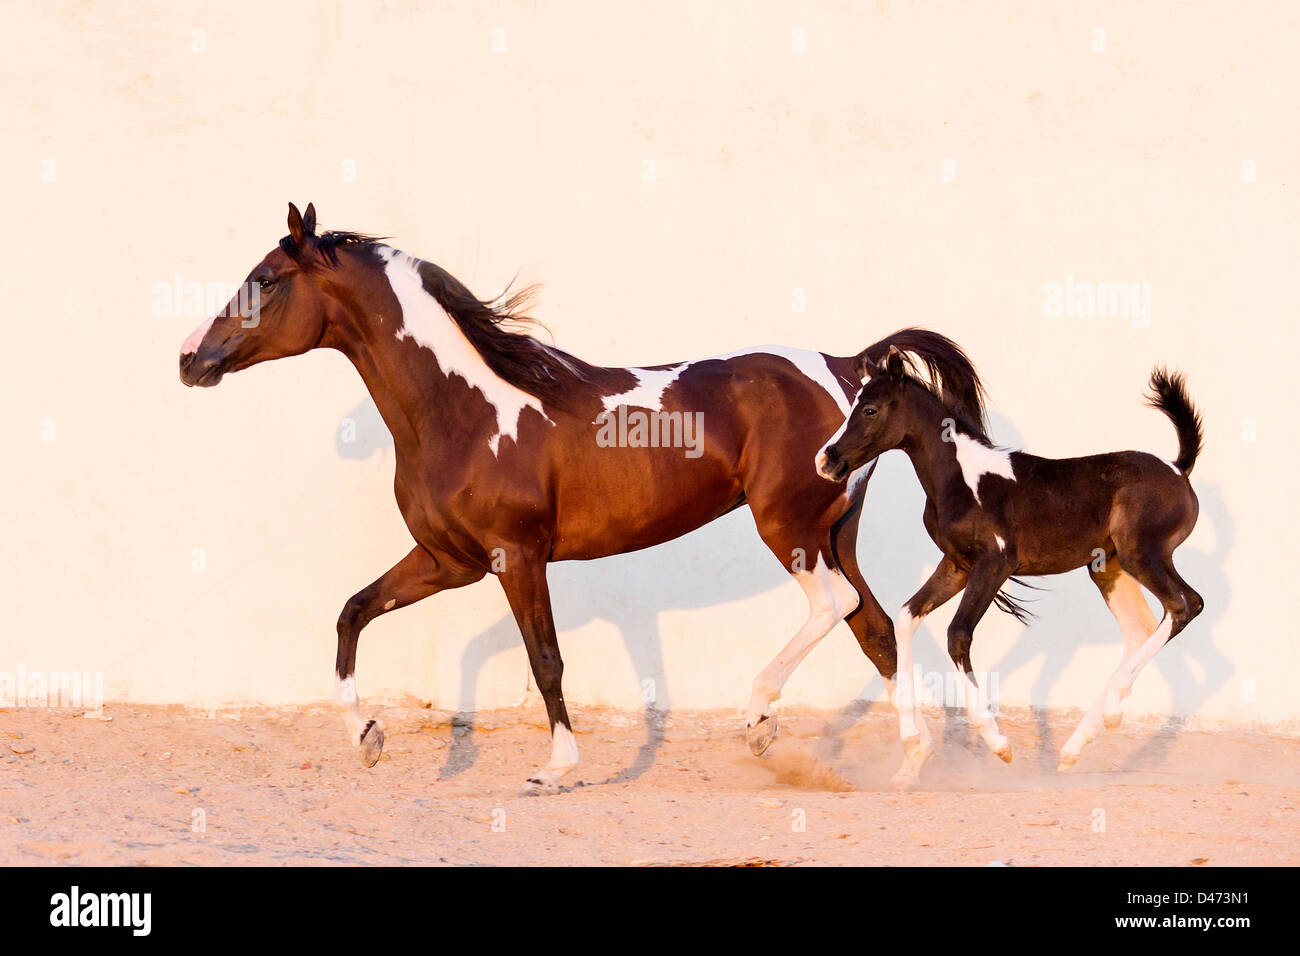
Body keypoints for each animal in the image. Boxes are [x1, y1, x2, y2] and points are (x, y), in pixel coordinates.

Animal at [177, 202, 987, 792]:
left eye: (267, 280)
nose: (190, 359)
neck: (463, 409)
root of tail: (848, 367)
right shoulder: (447, 561)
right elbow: (352, 613)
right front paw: (369, 740)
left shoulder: (517, 556)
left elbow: (546, 660)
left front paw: (555, 768)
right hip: (831, 533)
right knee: (875, 625)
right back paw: (908, 761)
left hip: (786, 526)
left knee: (837, 606)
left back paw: (759, 718)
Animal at [816, 343, 1204, 784]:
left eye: (870, 409)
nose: (826, 460)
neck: (962, 477)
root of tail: (1178, 469)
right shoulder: (957, 565)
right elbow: (906, 617)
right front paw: (911, 753)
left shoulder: (996, 564)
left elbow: (957, 634)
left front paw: (997, 744)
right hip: (1108, 568)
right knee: (1141, 631)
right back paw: (1081, 742)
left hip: (1144, 555)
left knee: (1184, 605)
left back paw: (1103, 719)